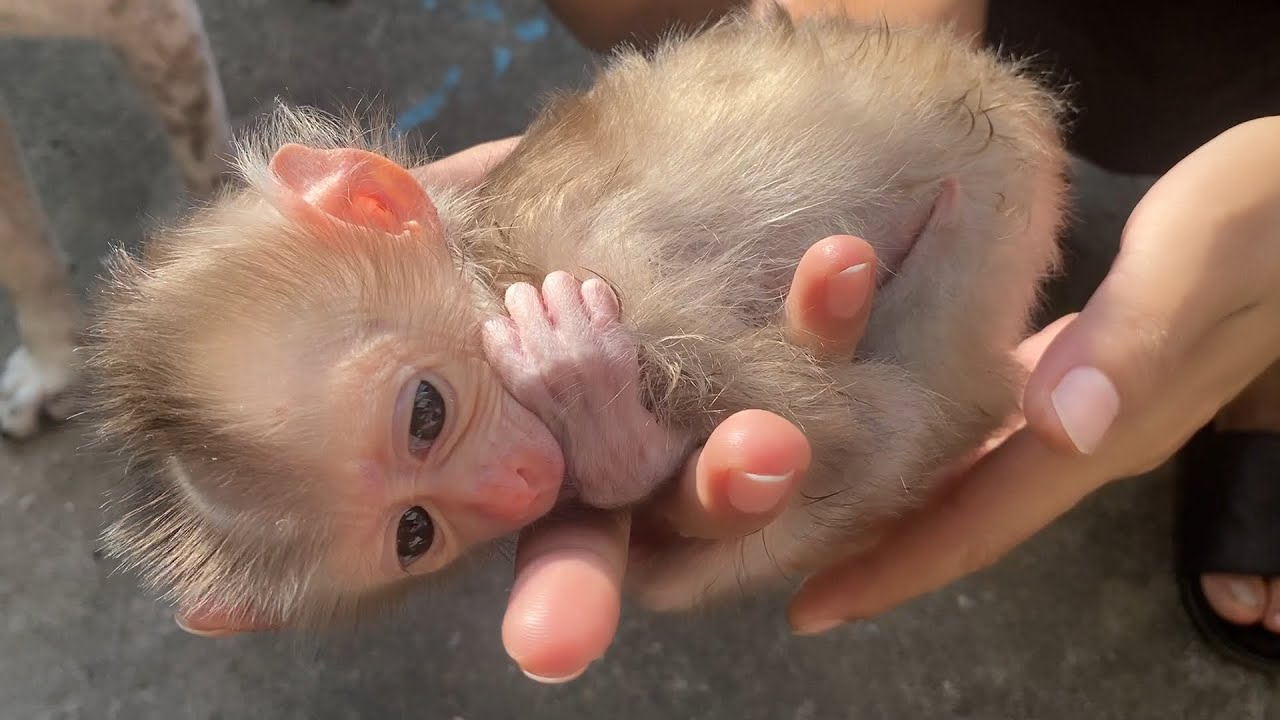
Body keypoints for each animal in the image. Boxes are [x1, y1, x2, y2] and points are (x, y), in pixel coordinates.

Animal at [83, 5, 1069, 631]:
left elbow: (872, 433)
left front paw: (596, 411)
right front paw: (613, 444)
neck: (497, 249)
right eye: (416, 534)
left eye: (427, 414)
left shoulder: (616, 268)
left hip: (988, 220)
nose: (513, 487)